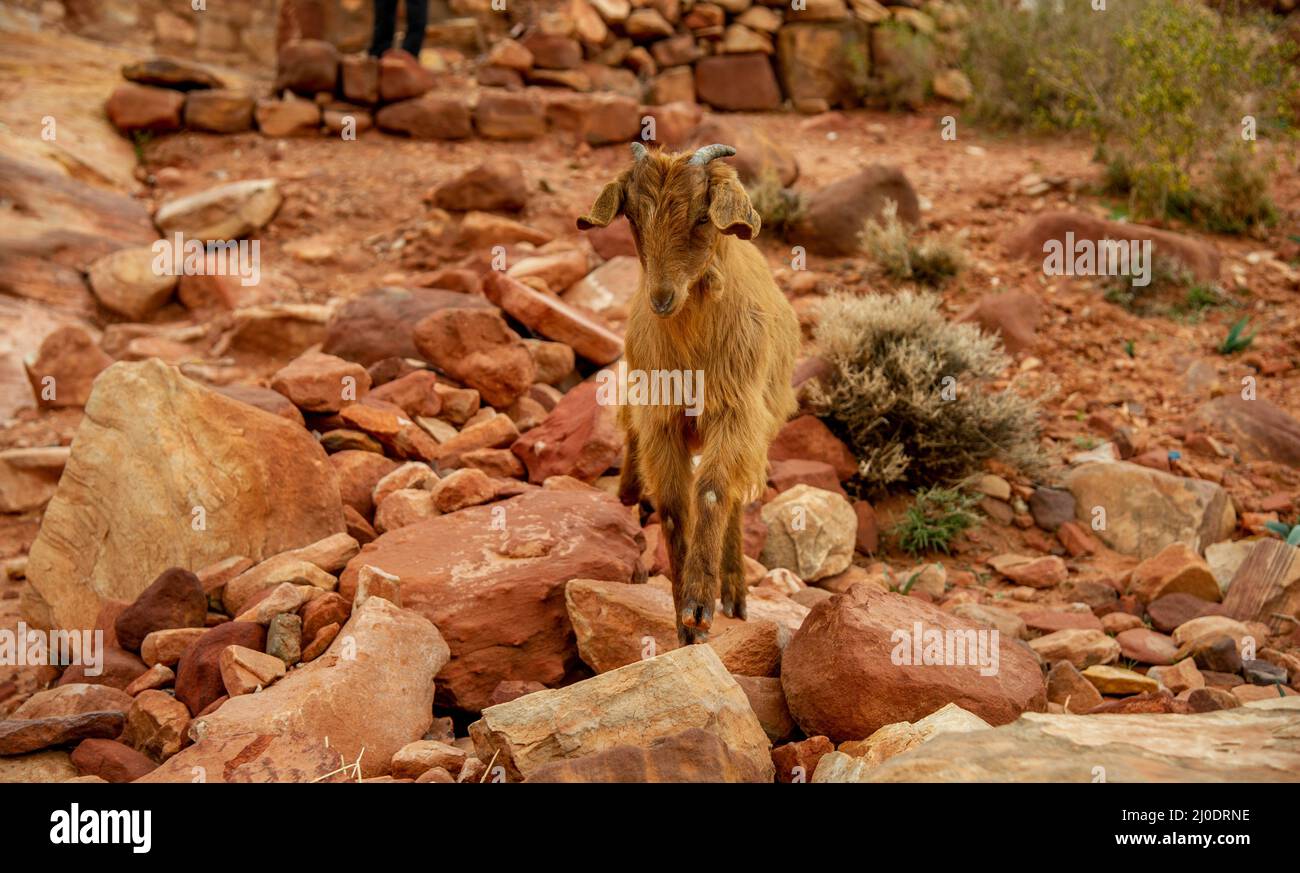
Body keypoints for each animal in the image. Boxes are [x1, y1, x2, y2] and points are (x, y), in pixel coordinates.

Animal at [577, 143, 800, 644]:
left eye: (702, 216)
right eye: (632, 215)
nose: (661, 298)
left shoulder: (734, 414)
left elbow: (714, 491)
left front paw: (700, 606)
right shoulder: (661, 418)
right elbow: (675, 507)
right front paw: (684, 620)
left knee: (735, 496)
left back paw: (734, 593)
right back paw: (630, 491)